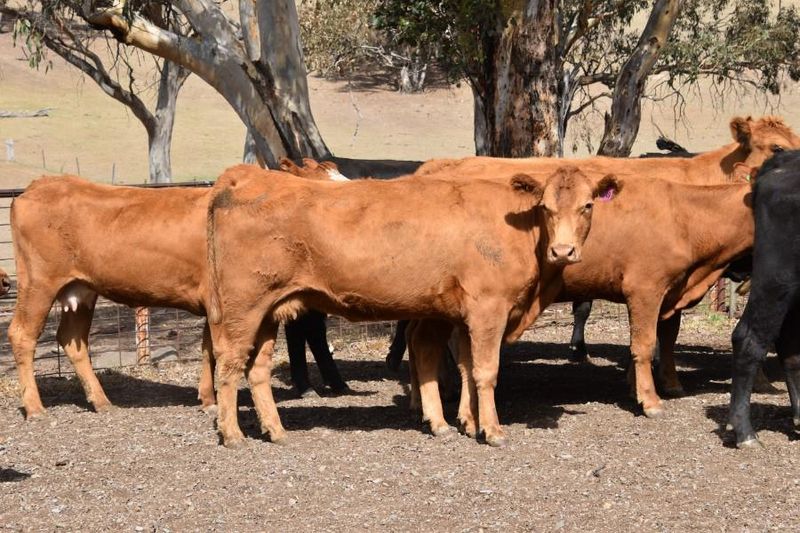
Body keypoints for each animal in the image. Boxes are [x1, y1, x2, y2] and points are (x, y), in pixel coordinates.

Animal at [7, 165, 342, 420]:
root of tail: (39, 185)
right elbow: (213, 349)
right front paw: (213, 400)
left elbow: (207, 348)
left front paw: (207, 398)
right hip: (38, 283)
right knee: (22, 335)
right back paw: (34, 408)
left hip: (81, 290)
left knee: (73, 340)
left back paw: (101, 401)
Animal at [204, 165, 622, 448]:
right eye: (546, 207)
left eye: (587, 206)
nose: (563, 251)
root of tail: (246, 177)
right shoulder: (489, 309)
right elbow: (485, 371)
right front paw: (492, 430)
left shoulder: (462, 315)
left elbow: (465, 367)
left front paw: (464, 423)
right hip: (243, 307)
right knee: (228, 364)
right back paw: (232, 433)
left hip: (268, 311)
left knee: (257, 368)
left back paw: (275, 430)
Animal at [407, 178, 754, 443]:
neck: (682, 215)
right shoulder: (645, 288)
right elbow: (643, 345)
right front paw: (650, 399)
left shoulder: (670, 292)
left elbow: (660, 340)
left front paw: (646, 386)